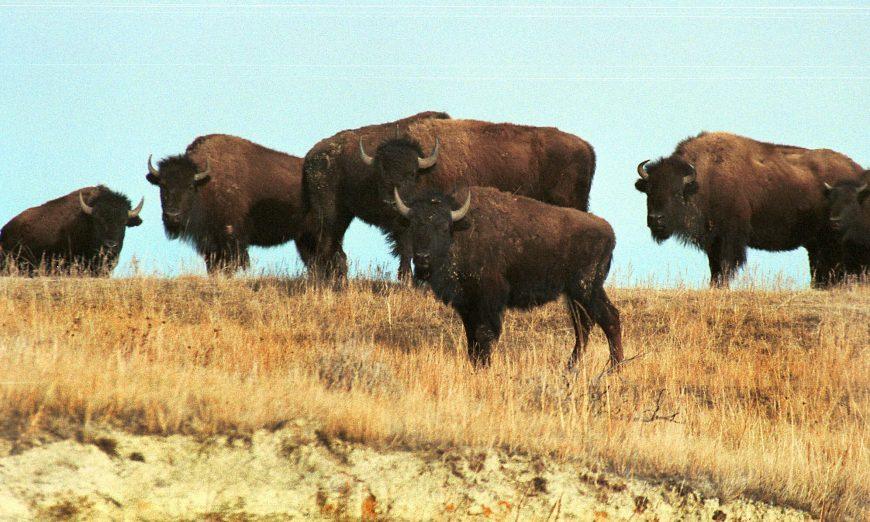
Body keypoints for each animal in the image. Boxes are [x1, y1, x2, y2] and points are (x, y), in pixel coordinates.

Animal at [147, 134, 305, 274]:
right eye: (162, 185)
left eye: (190, 186)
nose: (172, 216)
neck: (206, 184)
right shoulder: (210, 245)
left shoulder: (232, 241)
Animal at [301, 111, 596, 280]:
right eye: (380, 172)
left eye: (411, 174)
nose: (389, 201)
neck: (427, 165)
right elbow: (407, 248)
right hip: (334, 214)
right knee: (329, 248)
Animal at [392, 186, 622, 368]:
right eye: (414, 225)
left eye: (442, 227)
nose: (422, 257)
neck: (460, 232)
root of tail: (608, 230)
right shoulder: (466, 305)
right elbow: (471, 339)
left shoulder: (488, 302)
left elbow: (484, 335)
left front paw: (485, 367)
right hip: (576, 294)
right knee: (587, 325)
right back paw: (574, 367)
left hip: (585, 289)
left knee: (607, 319)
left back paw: (613, 368)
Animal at [634, 132, 864, 287]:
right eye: (649, 191)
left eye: (676, 193)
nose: (656, 219)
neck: (703, 180)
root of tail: (857, 169)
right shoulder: (713, 240)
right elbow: (714, 266)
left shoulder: (730, 237)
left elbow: (725, 265)